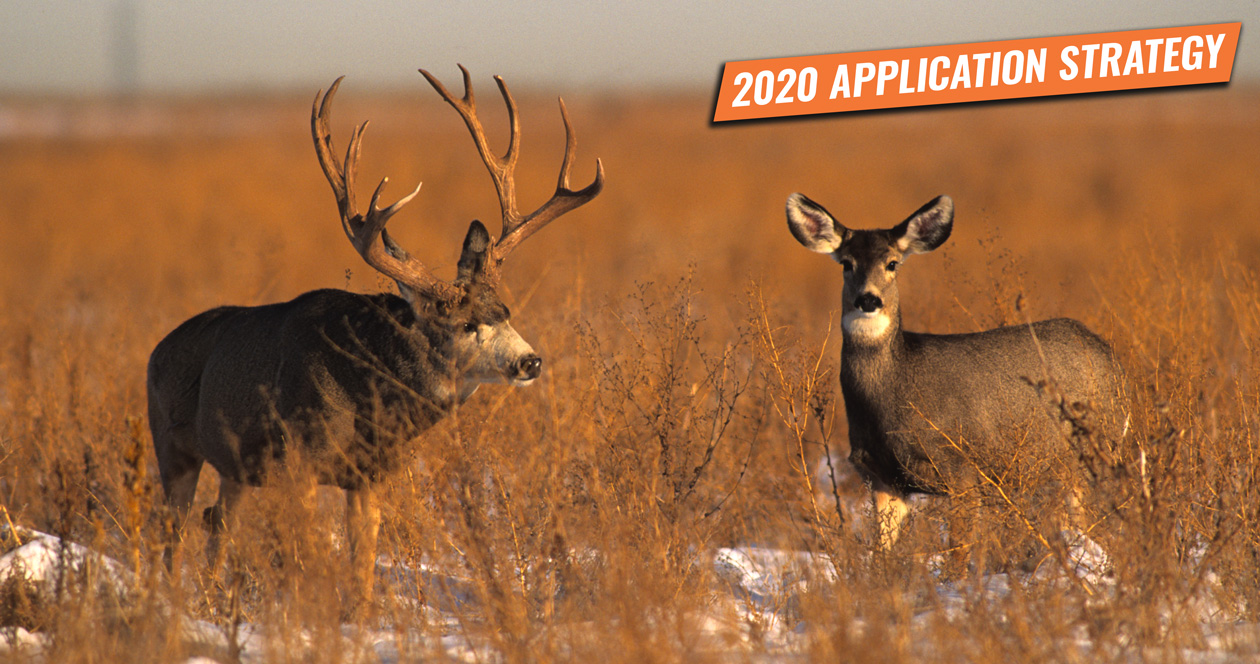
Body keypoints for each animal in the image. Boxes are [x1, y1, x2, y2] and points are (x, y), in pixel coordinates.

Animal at [147, 66, 603, 604]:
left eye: (505, 311)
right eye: (465, 324)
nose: (529, 361)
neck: (369, 397)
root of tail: (157, 349)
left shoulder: (371, 474)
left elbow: (362, 563)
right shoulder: (300, 464)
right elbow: (308, 559)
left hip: (235, 469)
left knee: (216, 523)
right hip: (171, 445)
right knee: (173, 530)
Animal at [785, 193, 1126, 551]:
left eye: (892, 263)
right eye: (846, 263)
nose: (868, 300)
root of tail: (1109, 356)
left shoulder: (962, 469)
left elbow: (958, 555)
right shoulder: (881, 477)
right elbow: (882, 553)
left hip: (1098, 450)